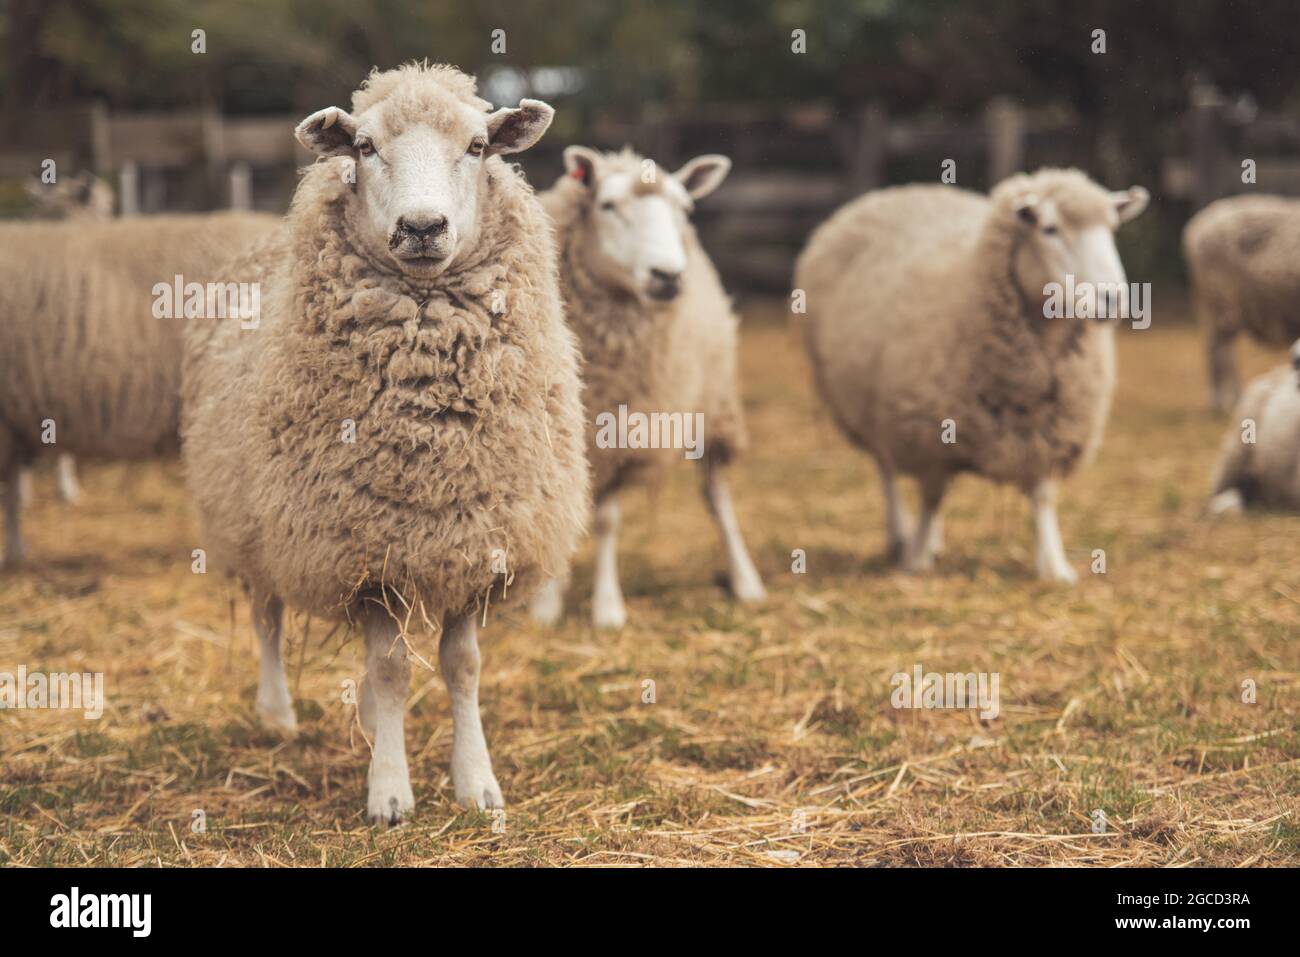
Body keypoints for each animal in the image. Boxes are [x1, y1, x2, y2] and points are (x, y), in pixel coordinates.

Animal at [180, 63, 588, 825]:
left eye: (479, 145)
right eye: (365, 147)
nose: (423, 226)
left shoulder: (477, 541)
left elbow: (462, 667)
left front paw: (477, 784)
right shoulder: (363, 550)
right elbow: (394, 667)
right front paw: (390, 794)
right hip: (258, 523)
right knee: (267, 616)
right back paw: (277, 714)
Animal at [528, 146, 765, 630]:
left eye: (686, 208)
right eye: (607, 205)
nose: (668, 276)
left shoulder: (618, 430)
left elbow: (607, 520)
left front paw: (607, 608)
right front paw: (546, 604)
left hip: (714, 408)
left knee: (716, 496)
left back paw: (745, 580)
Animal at [795, 168, 1149, 582]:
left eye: (1112, 228)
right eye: (1049, 229)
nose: (1114, 299)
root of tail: (889, 193)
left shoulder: (1054, 429)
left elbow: (1043, 496)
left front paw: (1054, 565)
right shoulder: (927, 436)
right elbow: (931, 498)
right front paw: (917, 558)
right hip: (866, 410)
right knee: (886, 471)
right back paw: (901, 536)